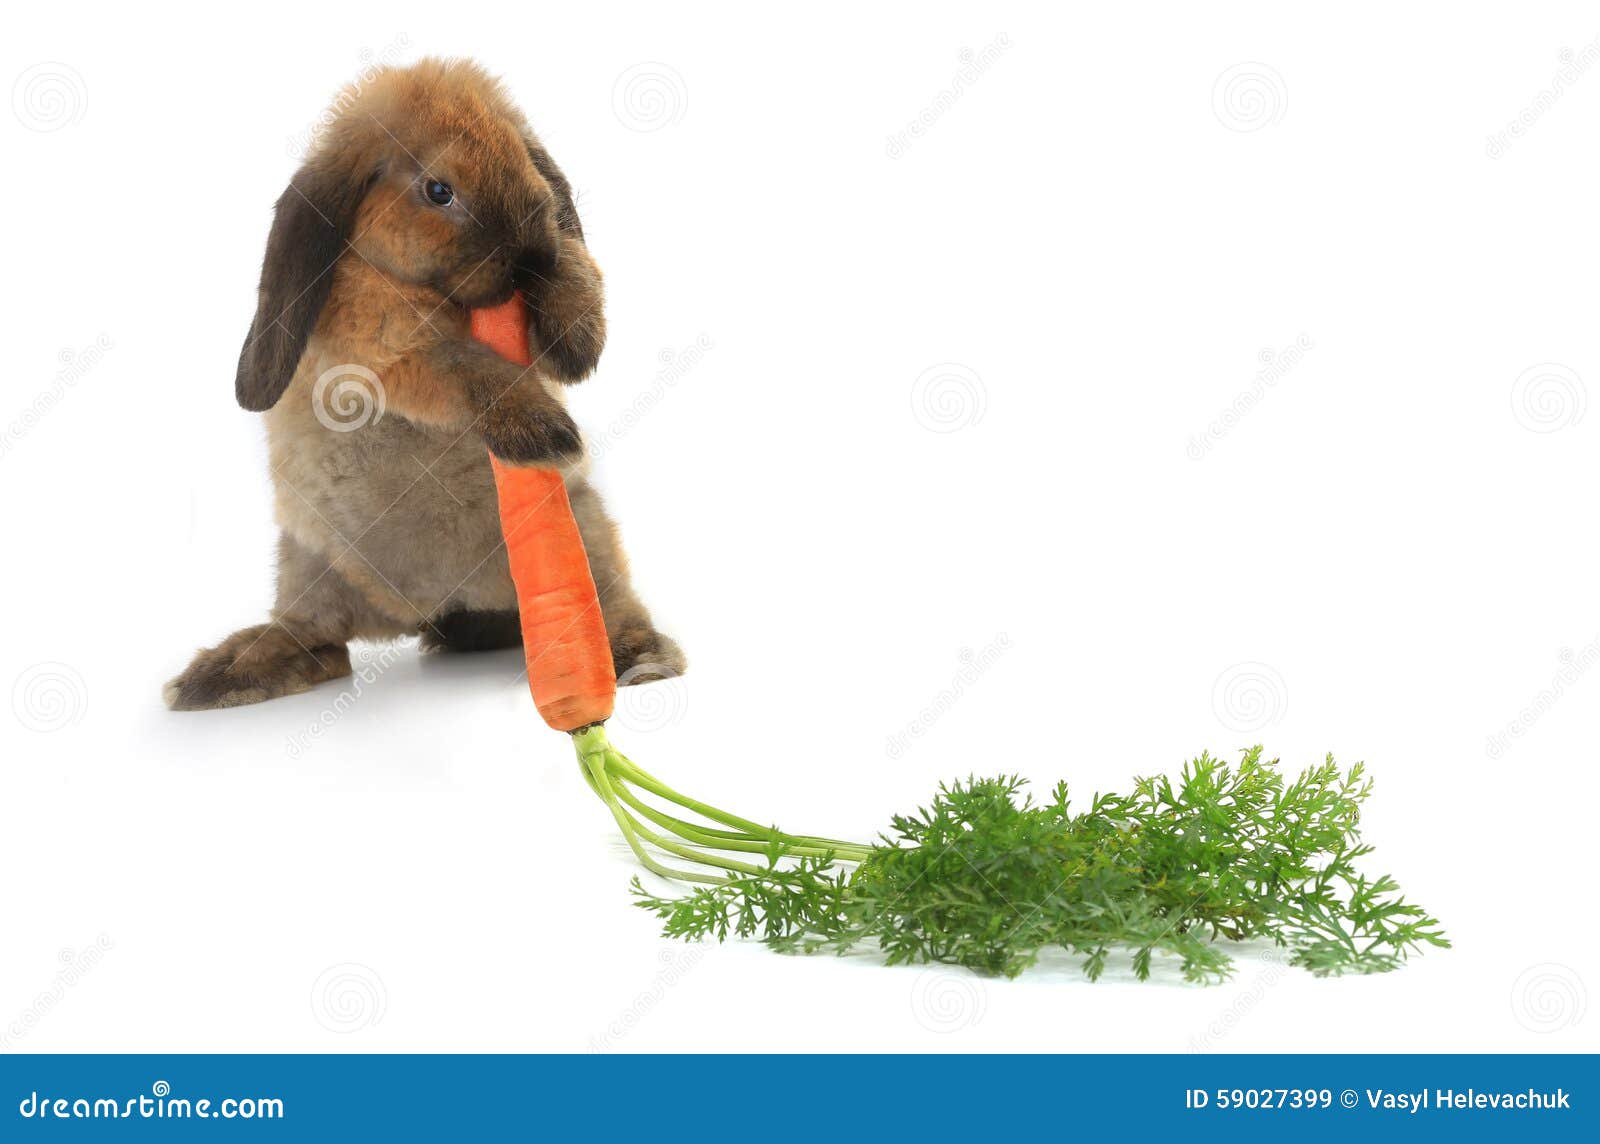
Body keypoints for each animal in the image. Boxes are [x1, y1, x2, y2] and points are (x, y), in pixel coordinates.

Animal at [164, 57, 684, 711]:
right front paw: (545, 433)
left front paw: (571, 321)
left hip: (589, 533)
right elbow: (459, 367)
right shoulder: (386, 356)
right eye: (439, 191)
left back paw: (636, 660)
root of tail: (429, 610)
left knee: (608, 603)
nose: (529, 256)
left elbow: (577, 292)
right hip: (306, 563)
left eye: (525, 159)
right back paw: (225, 674)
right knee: (321, 644)